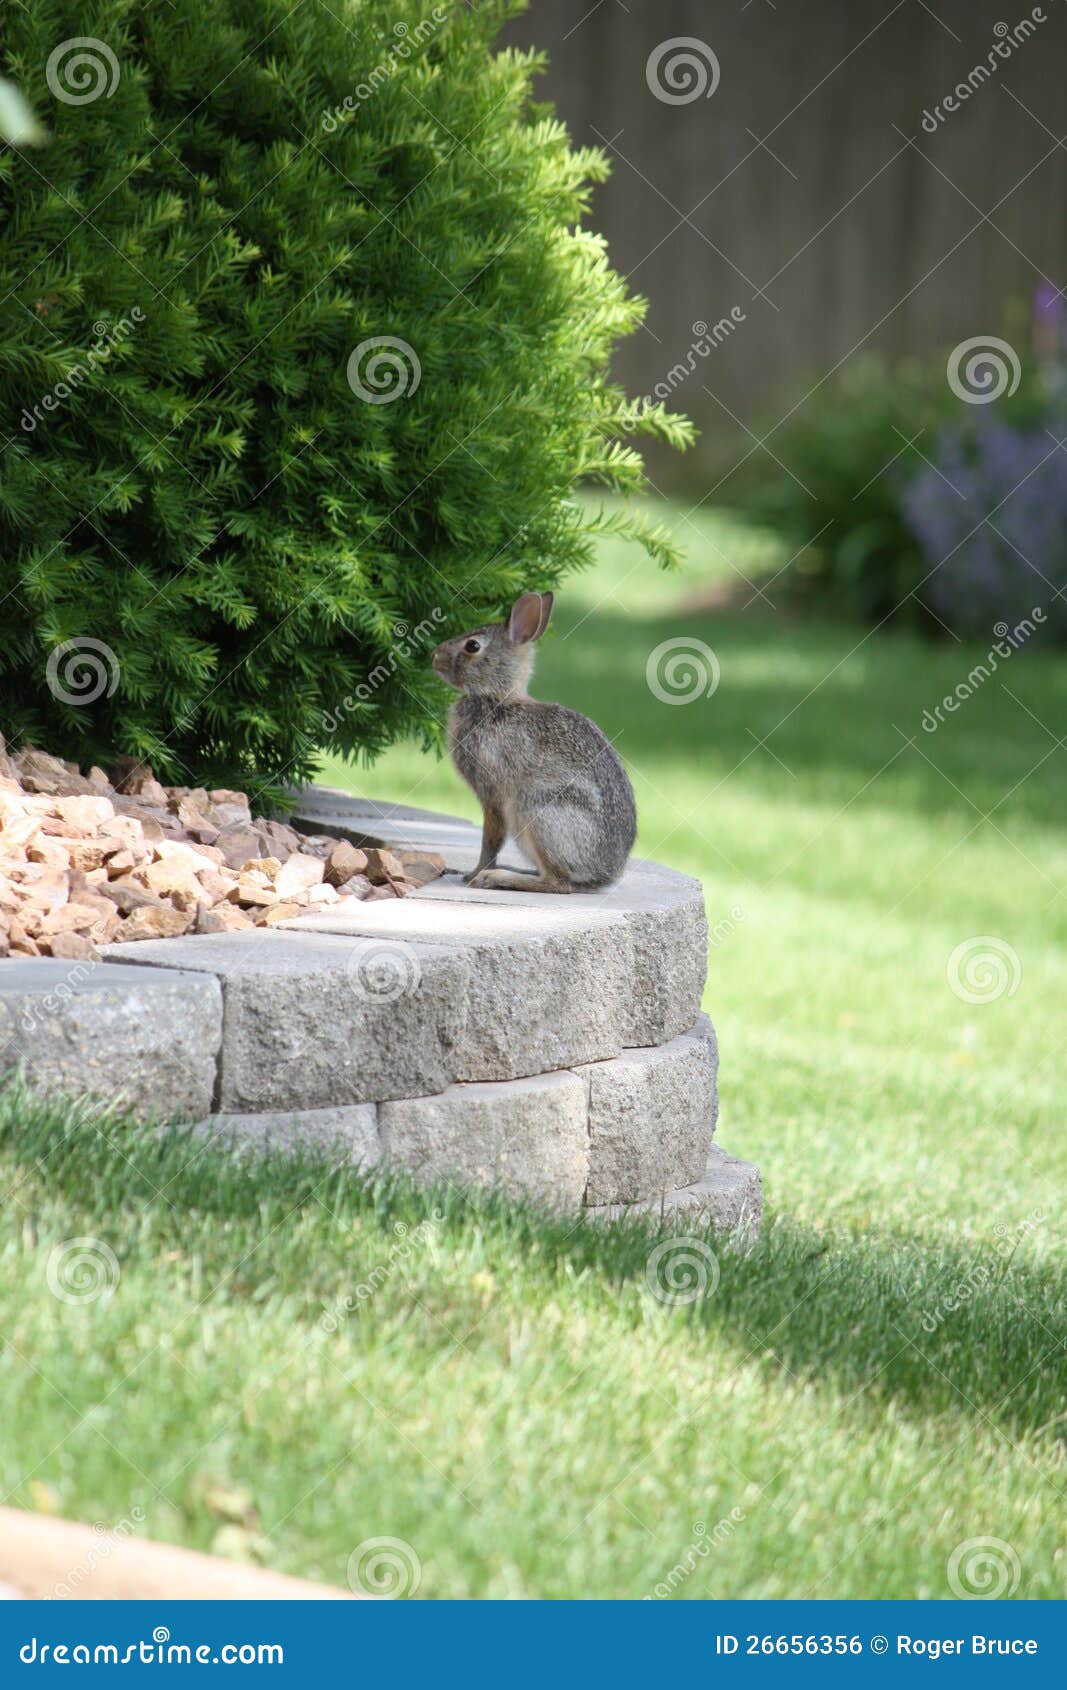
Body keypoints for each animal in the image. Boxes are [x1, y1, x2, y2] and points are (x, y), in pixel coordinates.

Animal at [431, 591, 637, 892]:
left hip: (540, 809)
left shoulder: (493, 793)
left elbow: (491, 839)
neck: (496, 699)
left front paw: (474, 874)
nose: (434, 656)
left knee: (558, 883)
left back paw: (497, 878)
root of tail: (606, 873)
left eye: (472, 645)